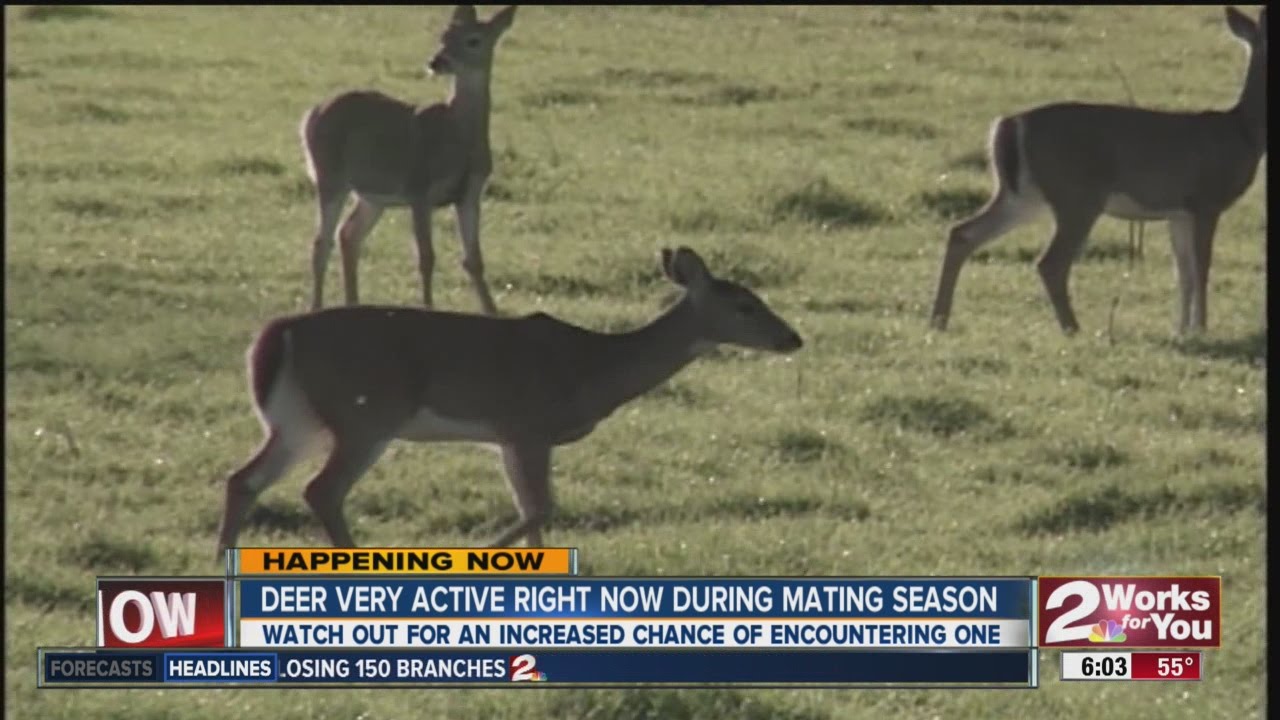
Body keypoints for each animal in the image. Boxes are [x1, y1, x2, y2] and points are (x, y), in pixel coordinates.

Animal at [214, 247, 804, 559]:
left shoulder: (507, 436)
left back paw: (222, 562)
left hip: (298, 418)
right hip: (366, 412)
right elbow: (541, 506)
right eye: (746, 305)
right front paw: (489, 552)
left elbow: (531, 506)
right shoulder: (528, 424)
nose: (793, 339)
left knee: (244, 478)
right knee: (322, 489)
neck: (591, 369)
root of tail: (278, 334)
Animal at [299, 5, 516, 315]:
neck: (459, 136)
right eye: (444, 36)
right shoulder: (419, 187)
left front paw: (493, 312)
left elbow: (474, 260)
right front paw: (428, 307)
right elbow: (426, 257)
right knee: (321, 242)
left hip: (373, 196)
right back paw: (316, 308)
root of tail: (310, 115)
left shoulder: (470, 193)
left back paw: (353, 303)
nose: (437, 61)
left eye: (473, 41)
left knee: (348, 235)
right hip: (330, 175)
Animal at [929, 6, 1266, 336]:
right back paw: (1074, 328)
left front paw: (1182, 330)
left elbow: (1183, 271)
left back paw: (939, 319)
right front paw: (1201, 328)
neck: (1244, 132)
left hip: (1022, 196)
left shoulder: (1179, 211)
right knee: (1050, 262)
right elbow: (1202, 266)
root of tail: (1008, 125)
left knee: (962, 233)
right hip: (1076, 196)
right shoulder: (1207, 200)